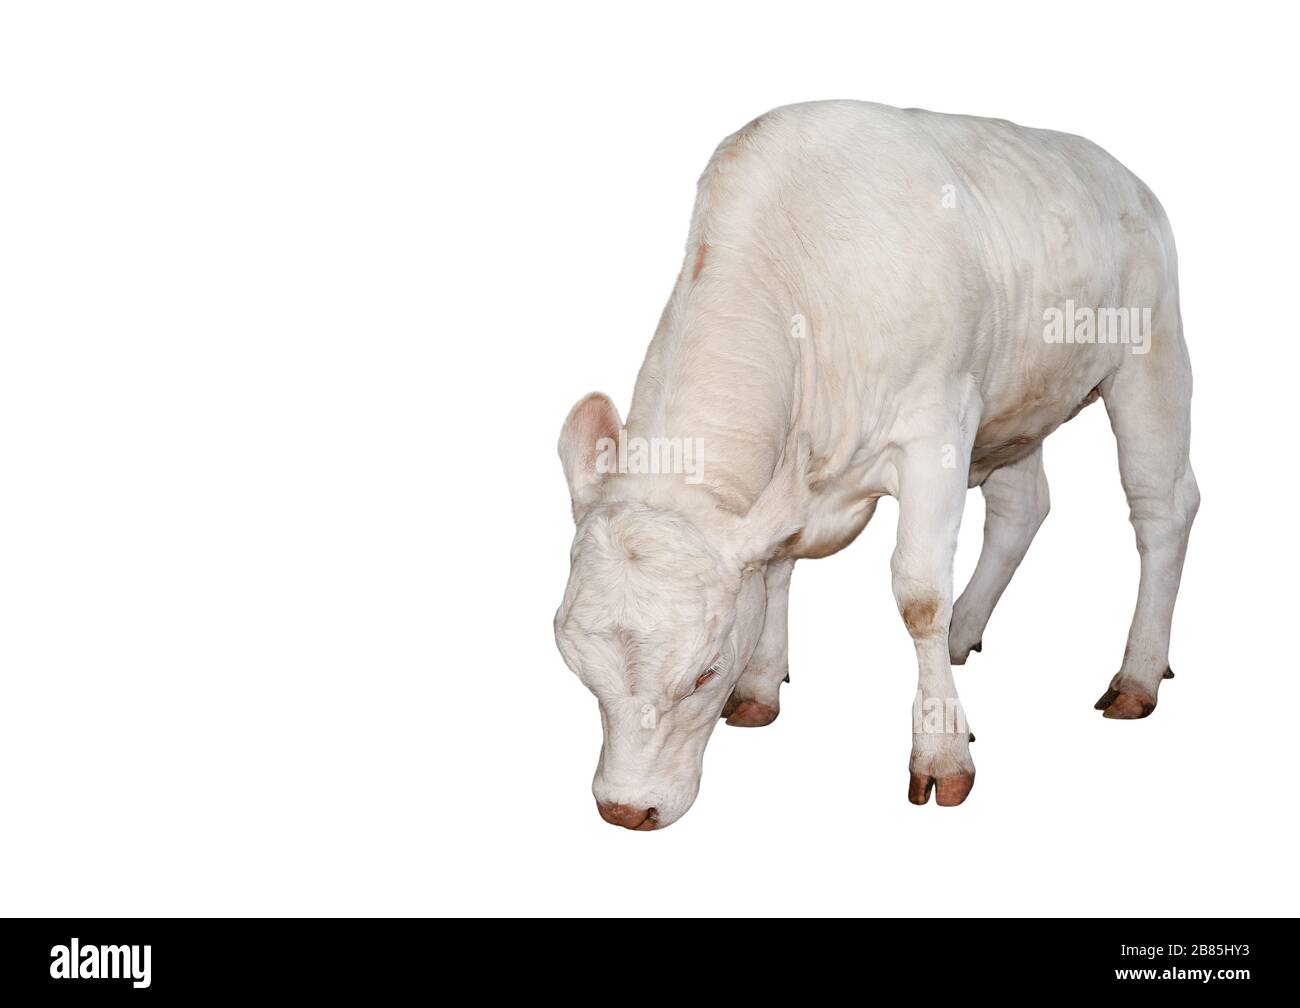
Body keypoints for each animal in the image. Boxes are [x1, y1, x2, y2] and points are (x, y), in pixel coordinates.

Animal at [553, 101, 1198, 830]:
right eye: (576, 665)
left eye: (705, 672)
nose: (624, 810)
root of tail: (1118, 171)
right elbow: (776, 570)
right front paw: (763, 686)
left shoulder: (936, 425)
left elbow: (919, 594)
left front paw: (942, 753)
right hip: (1013, 403)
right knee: (1022, 507)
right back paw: (965, 633)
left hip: (1151, 350)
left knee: (1162, 507)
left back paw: (1137, 674)